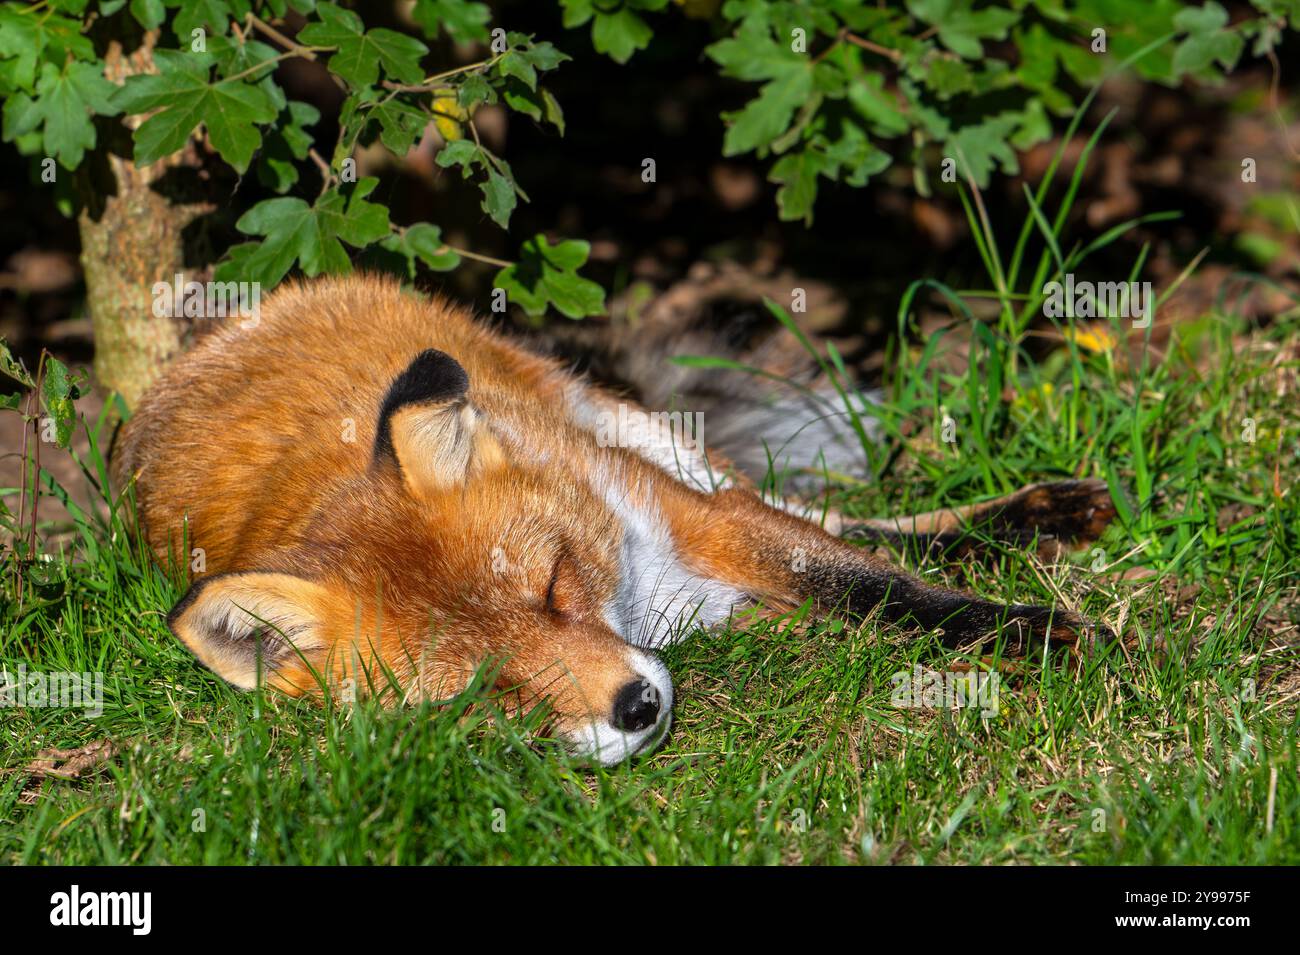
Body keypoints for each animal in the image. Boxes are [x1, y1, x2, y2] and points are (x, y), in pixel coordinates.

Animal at [114, 273, 1116, 764]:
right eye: (488, 691)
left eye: (555, 587)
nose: (636, 708)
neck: (640, 603)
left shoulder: (684, 519)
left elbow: (878, 588)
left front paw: (1027, 630)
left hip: (642, 437)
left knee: (824, 513)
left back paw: (1031, 516)